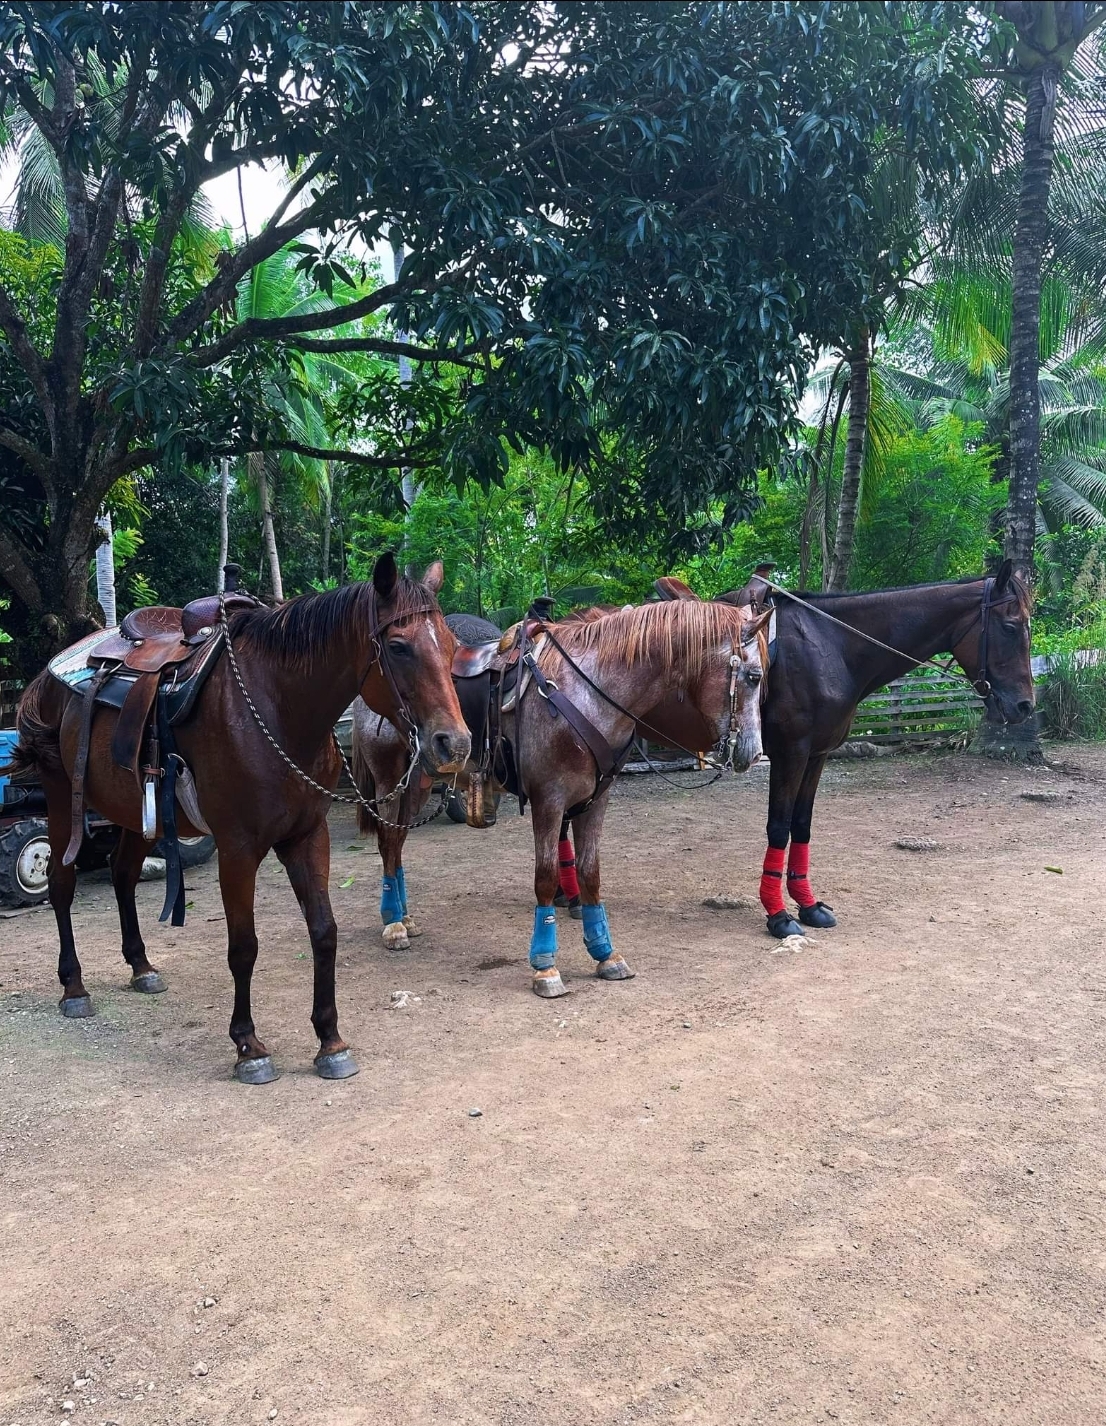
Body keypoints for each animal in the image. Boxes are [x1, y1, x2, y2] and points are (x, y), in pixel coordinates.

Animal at [9, 556, 470, 1081]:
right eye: (397, 647)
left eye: (451, 645)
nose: (454, 745)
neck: (277, 710)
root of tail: (50, 675)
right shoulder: (237, 849)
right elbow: (243, 945)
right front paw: (249, 1046)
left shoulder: (307, 837)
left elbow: (324, 932)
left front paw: (330, 1041)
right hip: (61, 798)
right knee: (62, 884)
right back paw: (74, 988)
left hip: (135, 813)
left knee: (123, 876)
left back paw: (142, 968)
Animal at [353, 598, 769, 997]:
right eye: (754, 676)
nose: (753, 753)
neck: (584, 693)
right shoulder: (548, 801)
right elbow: (546, 877)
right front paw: (545, 966)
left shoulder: (596, 800)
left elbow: (590, 874)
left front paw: (605, 954)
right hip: (391, 780)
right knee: (389, 843)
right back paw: (393, 924)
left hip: (419, 783)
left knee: (397, 843)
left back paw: (404, 917)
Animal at [652, 561, 1036, 937]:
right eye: (1010, 627)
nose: (1024, 707)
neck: (829, 645)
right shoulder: (791, 754)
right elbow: (779, 827)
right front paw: (777, 915)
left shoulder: (816, 755)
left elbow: (801, 825)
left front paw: (808, 905)